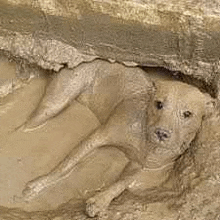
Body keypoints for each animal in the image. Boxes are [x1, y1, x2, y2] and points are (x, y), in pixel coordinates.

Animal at [16, 59, 215, 217]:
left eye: (187, 114)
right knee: (23, 127)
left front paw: (99, 201)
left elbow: (122, 182)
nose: (161, 133)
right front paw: (37, 186)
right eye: (159, 104)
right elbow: (65, 165)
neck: (145, 141)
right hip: (54, 104)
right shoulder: (99, 135)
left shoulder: (141, 166)